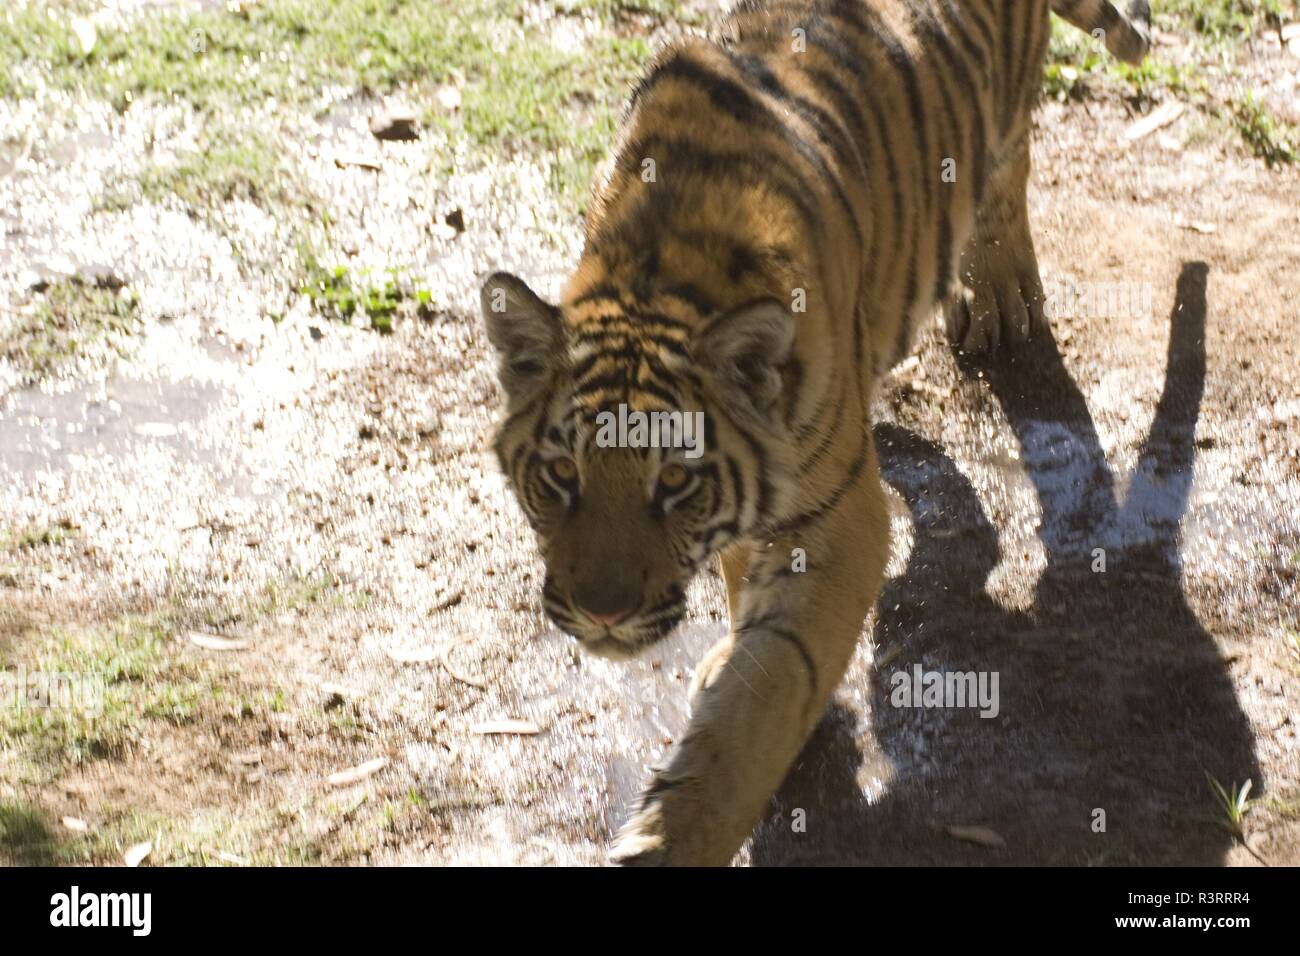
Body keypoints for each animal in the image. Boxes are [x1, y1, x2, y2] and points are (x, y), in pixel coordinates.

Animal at [479, 0, 1150, 865]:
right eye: (562, 475)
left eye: (674, 481)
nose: (602, 613)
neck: (660, 273)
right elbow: (746, 591)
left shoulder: (842, 521)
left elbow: (767, 692)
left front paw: (673, 831)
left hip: (1003, 120)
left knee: (1010, 171)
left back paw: (998, 294)